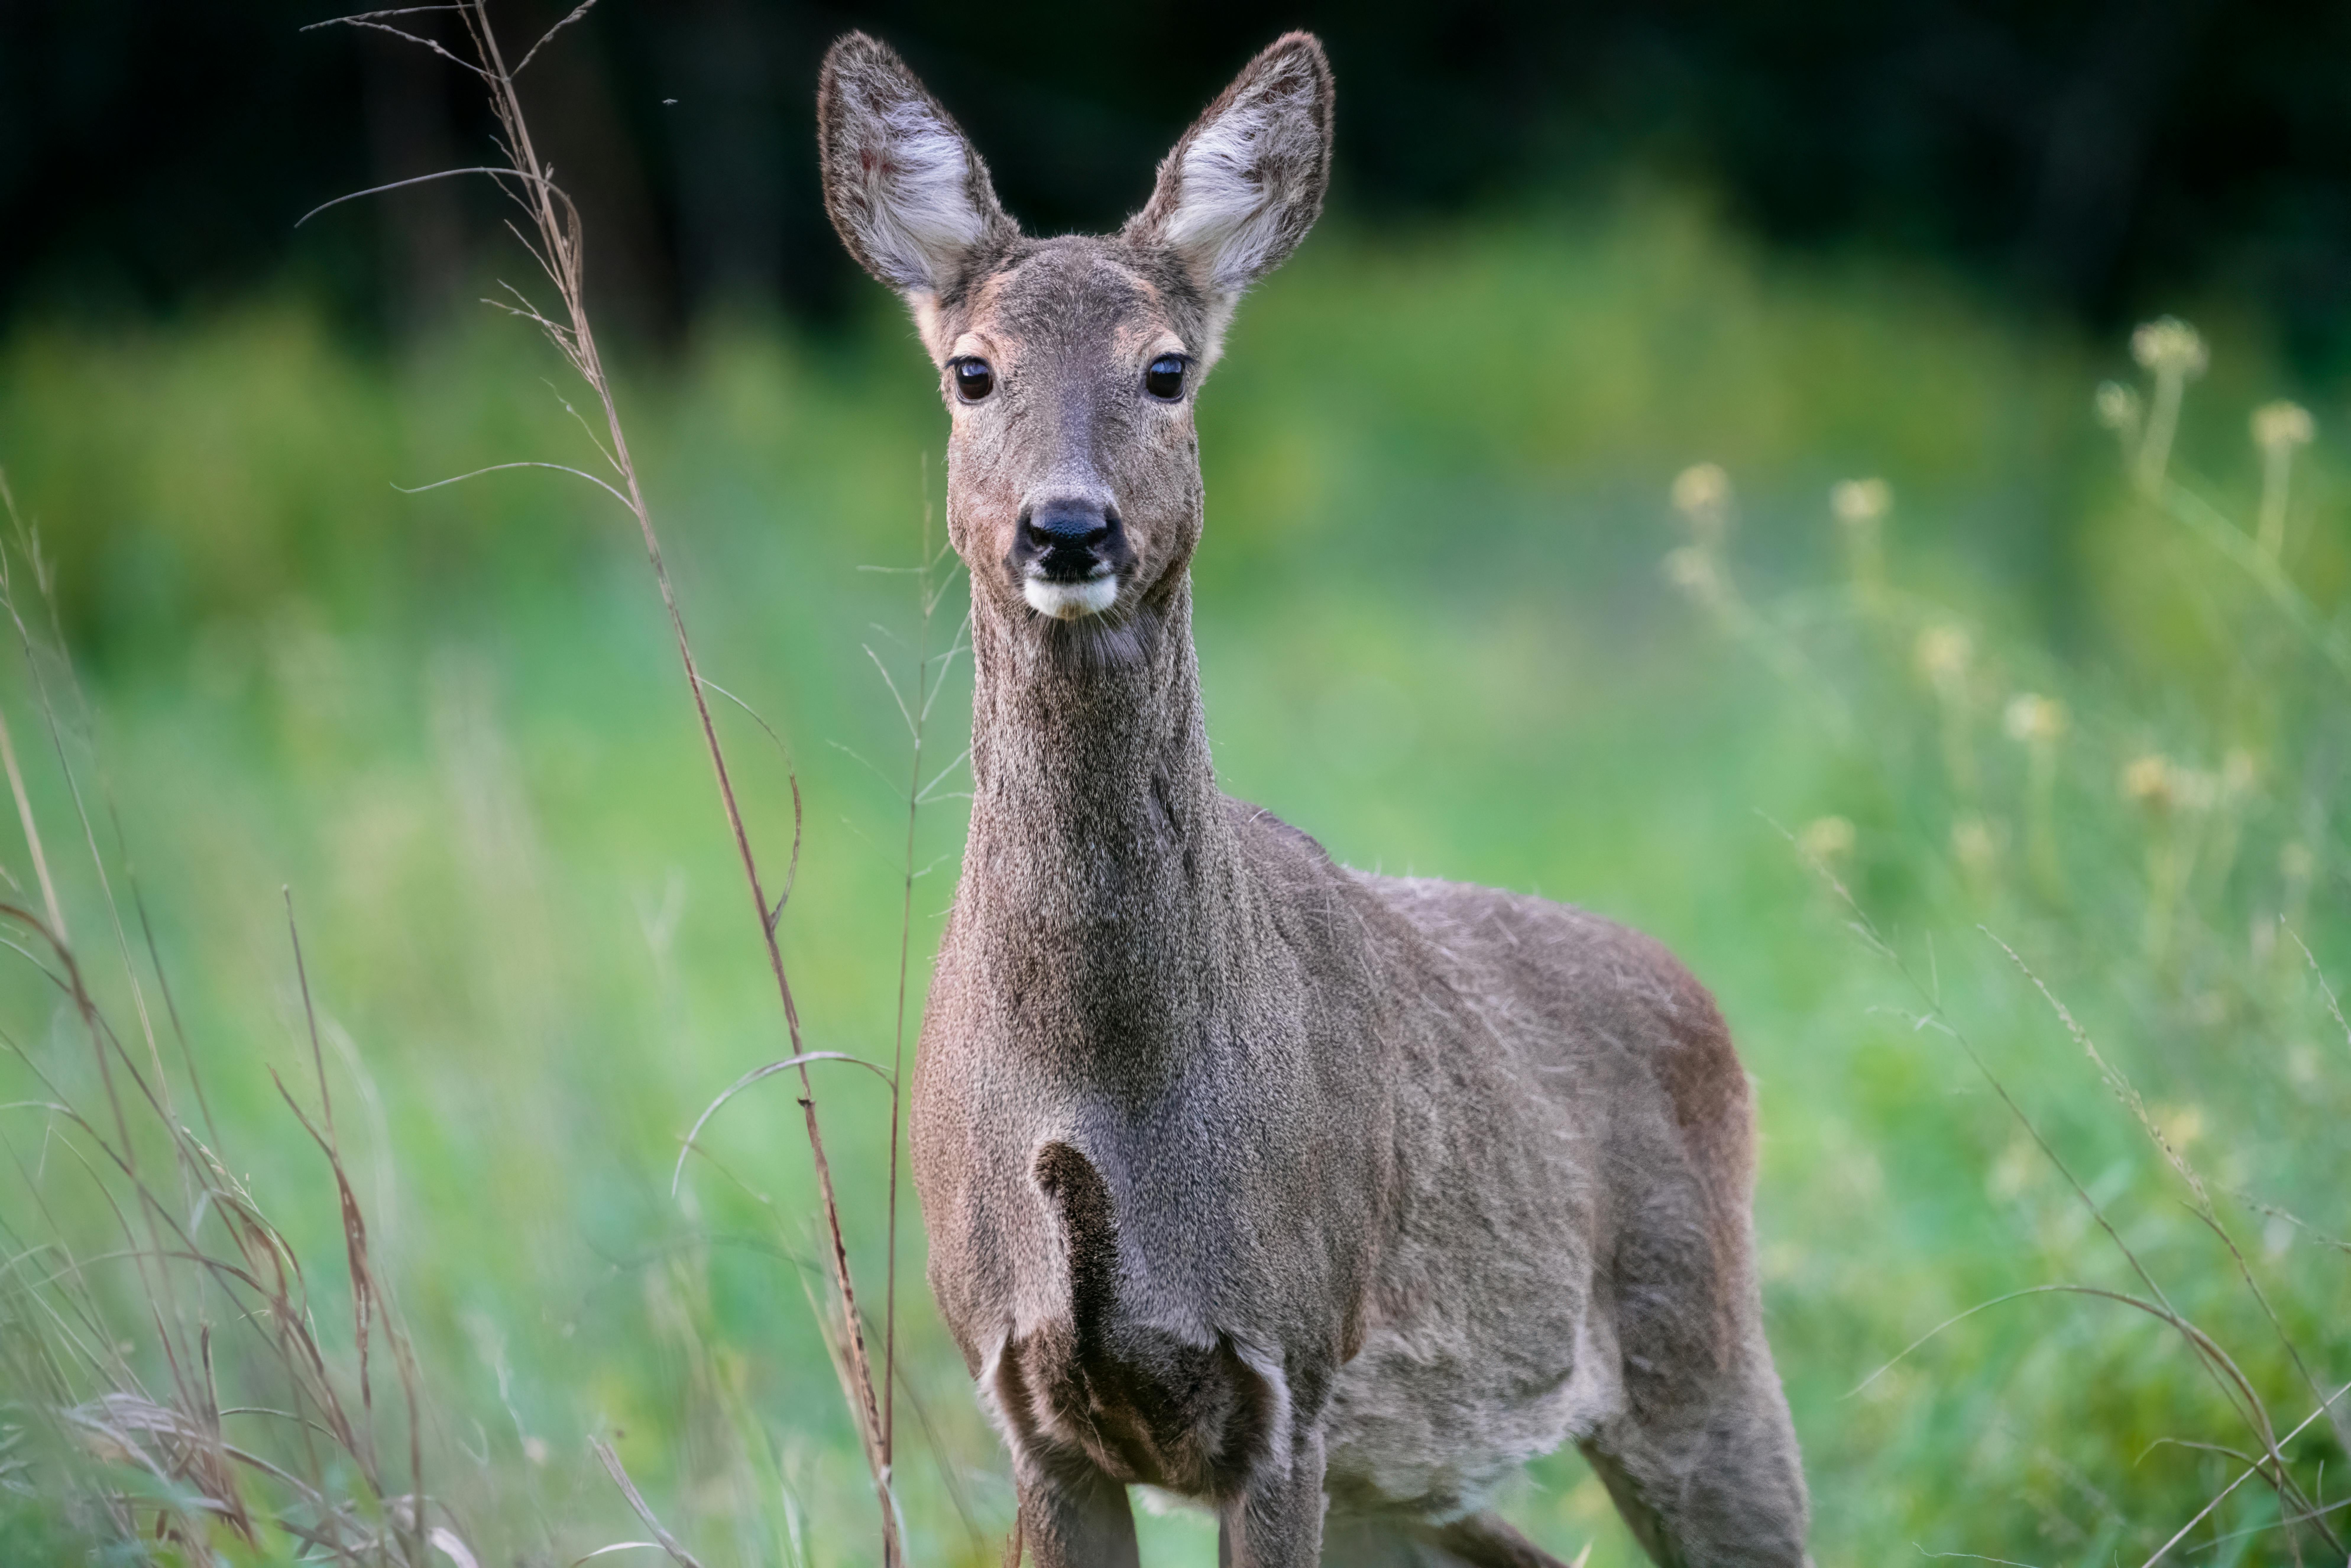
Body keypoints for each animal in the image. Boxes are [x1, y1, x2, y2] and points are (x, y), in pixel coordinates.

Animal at [816, 30, 1811, 1568]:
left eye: (1167, 368)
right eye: (971, 371)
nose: (1067, 526)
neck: (1097, 1093)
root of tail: (1701, 1002)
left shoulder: (1290, 1364)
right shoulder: (1021, 1389)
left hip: (1697, 1347)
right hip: (1410, 1488)